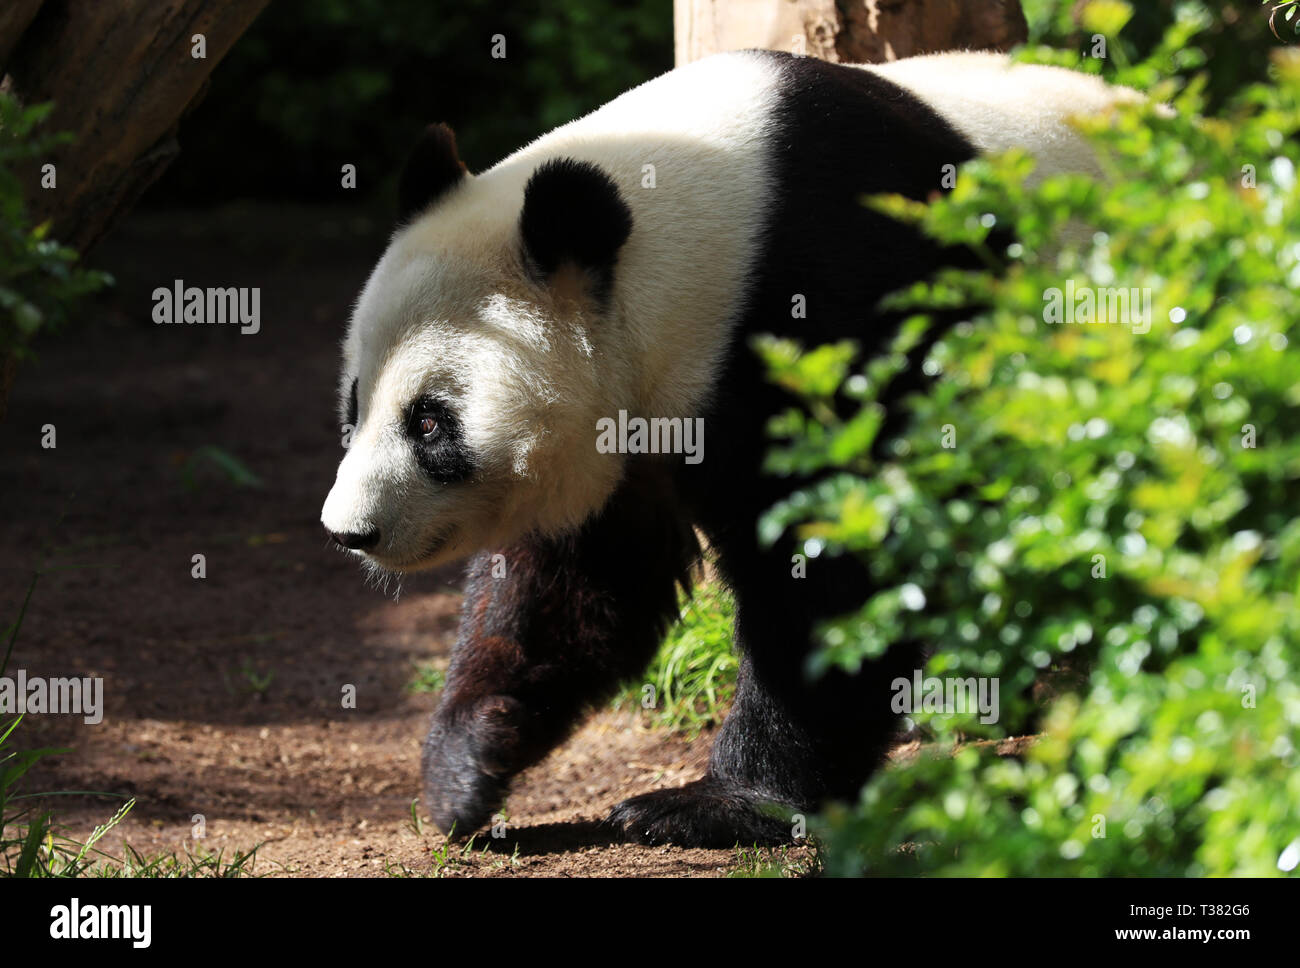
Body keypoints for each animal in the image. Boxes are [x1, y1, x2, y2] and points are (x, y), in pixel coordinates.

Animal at [321, 49, 1141, 847]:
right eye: (356, 405)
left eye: (431, 422)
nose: (351, 531)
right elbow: (578, 580)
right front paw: (465, 767)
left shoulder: (832, 304)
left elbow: (836, 562)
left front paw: (718, 805)